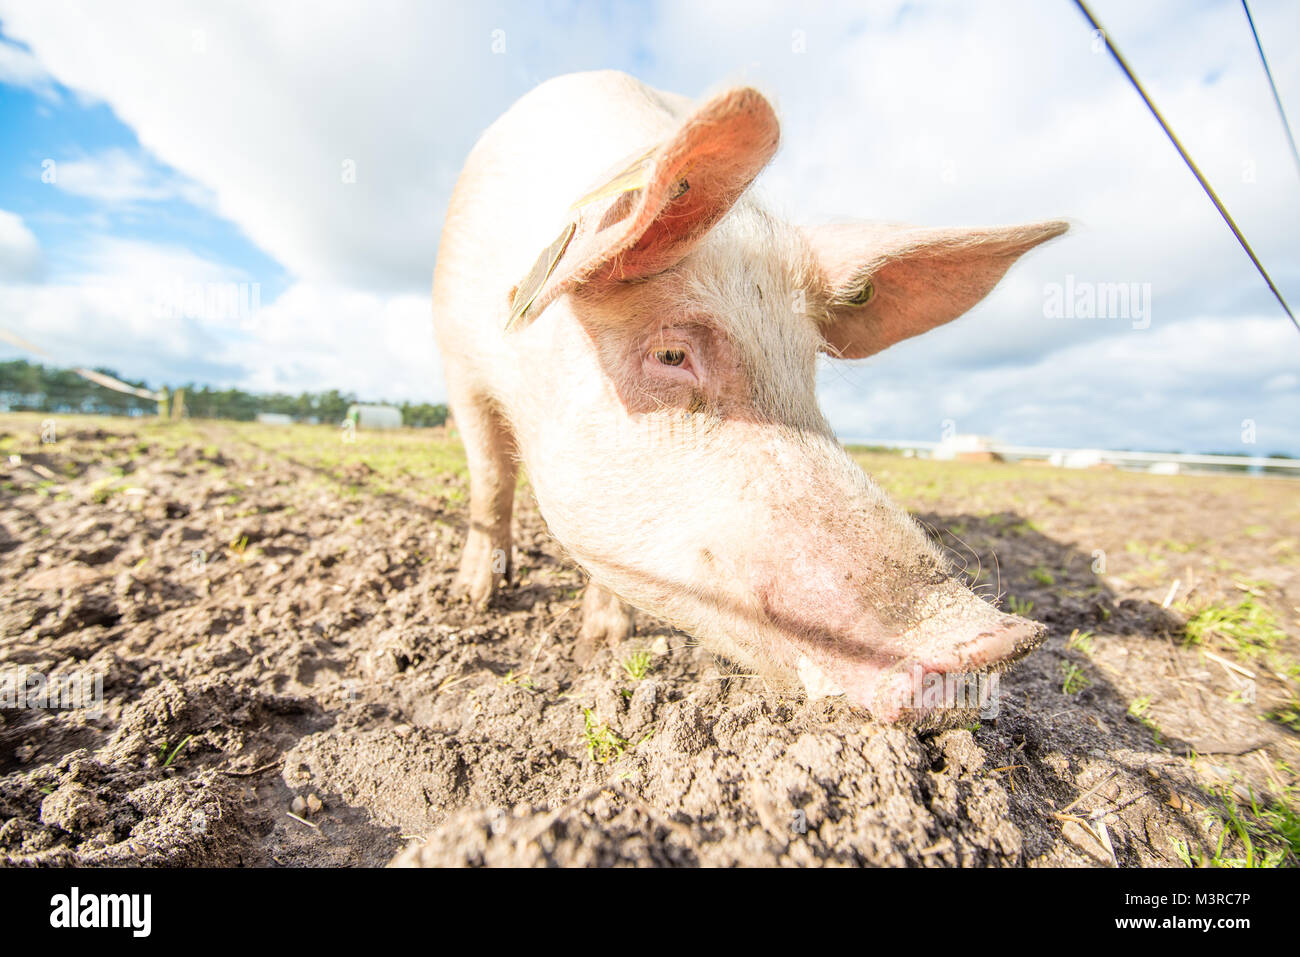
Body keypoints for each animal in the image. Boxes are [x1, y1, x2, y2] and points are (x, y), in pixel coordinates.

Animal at [432, 71, 1066, 723]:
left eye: (806, 366)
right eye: (671, 355)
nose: (997, 641)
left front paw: (603, 646)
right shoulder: (456, 359)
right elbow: (489, 479)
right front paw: (472, 599)